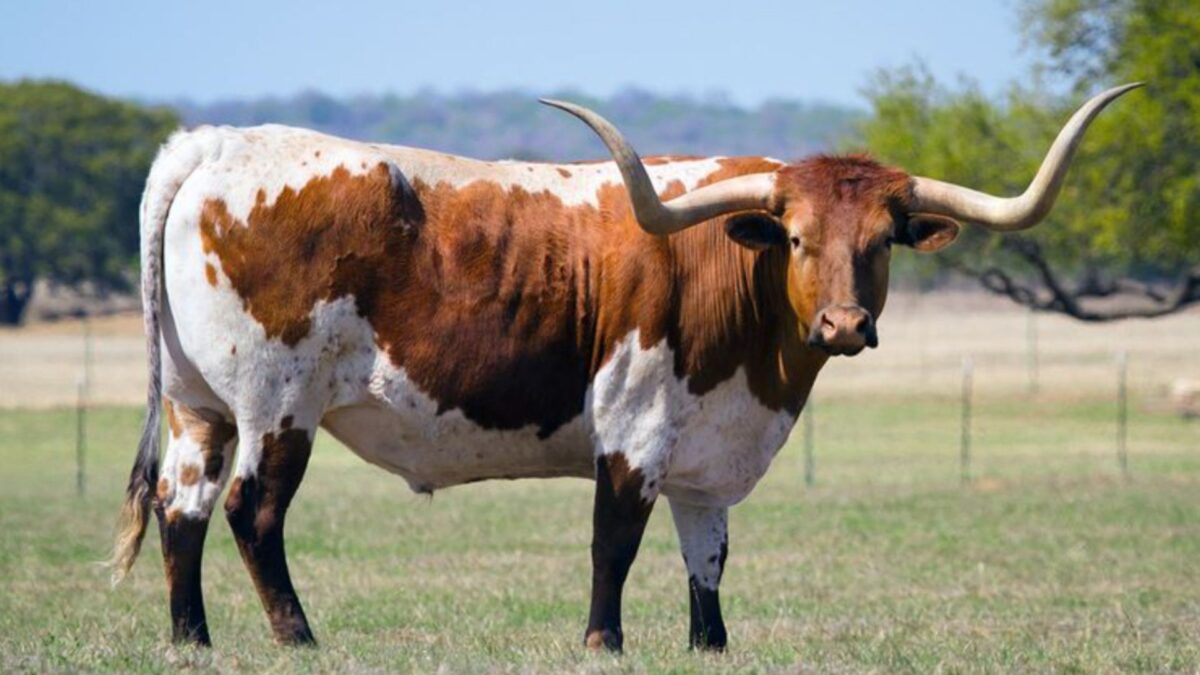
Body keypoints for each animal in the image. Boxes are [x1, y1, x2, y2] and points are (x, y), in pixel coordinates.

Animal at [109, 84, 1139, 652]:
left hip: (202, 406)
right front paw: (602, 639)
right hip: (277, 401)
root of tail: (213, 144)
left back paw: (190, 638)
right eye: (797, 238)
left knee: (181, 508)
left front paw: (710, 644)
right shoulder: (635, 431)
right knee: (253, 511)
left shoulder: (707, 453)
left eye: (883, 241)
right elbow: (615, 543)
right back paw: (298, 637)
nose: (845, 322)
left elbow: (707, 557)